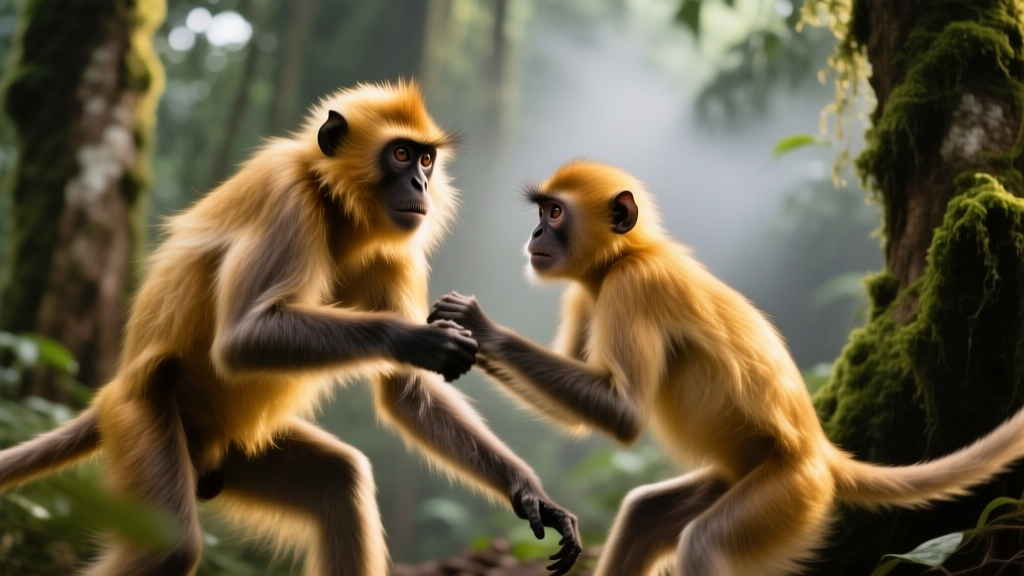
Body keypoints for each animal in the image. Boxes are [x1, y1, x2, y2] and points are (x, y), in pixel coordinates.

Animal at [0, 81, 582, 576]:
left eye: (426, 158)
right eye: (400, 155)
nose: (421, 183)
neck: (334, 204)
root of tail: (112, 390)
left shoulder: (395, 248)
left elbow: (406, 391)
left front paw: (528, 492)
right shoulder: (287, 196)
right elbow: (241, 340)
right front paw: (422, 339)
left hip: (231, 452)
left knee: (340, 480)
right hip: (142, 412)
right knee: (170, 547)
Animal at [428, 159, 1024, 576]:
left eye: (554, 214)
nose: (535, 237)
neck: (629, 256)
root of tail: (821, 451)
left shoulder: (634, 288)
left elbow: (623, 416)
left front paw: (480, 326)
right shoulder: (589, 291)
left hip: (787, 492)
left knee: (705, 543)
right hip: (745, 472)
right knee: (646, 514)